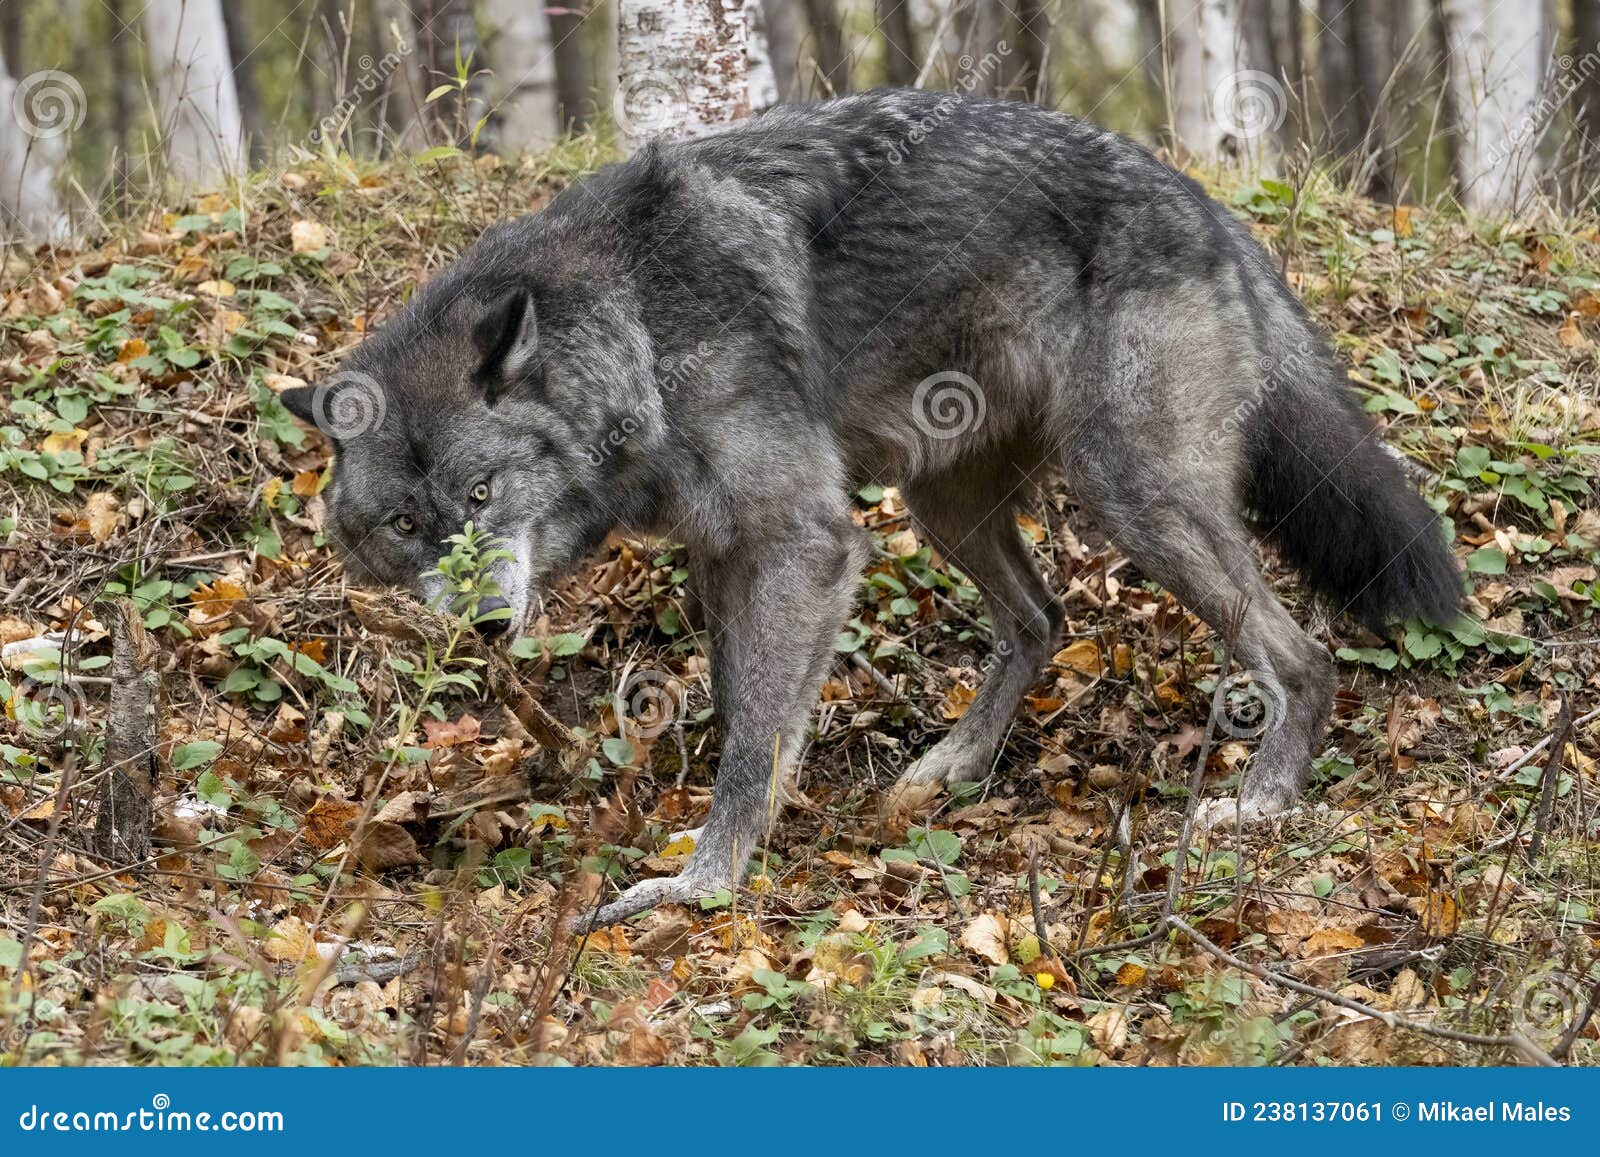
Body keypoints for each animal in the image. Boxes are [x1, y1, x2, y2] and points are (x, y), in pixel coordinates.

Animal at [281, 90, 1462, 926]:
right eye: (405, 524)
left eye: (482, 493)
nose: (483, 624)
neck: (627, 329)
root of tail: (1211, 206)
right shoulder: (728, 548)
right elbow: (746, 709)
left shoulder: (803, 542)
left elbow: (752, 733)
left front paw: (704, 883)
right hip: (942, 499)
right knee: (1044, 619)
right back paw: (953, 768)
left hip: (1136, 501)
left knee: (1303, 654)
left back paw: (1259, 802)